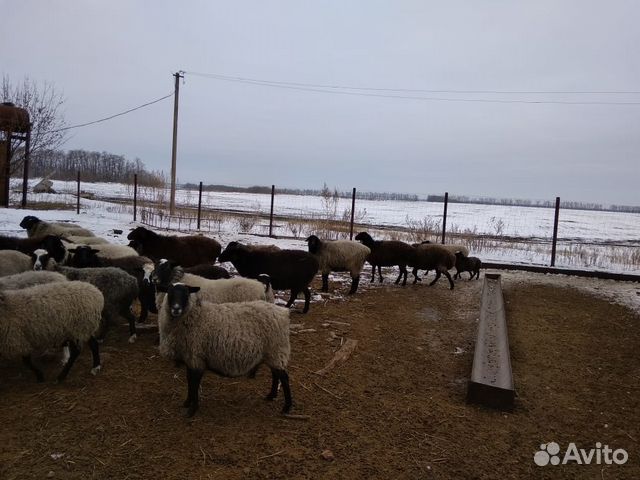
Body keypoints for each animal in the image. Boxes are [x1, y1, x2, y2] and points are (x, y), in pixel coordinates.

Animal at [157, 283, 292, 417]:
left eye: (186, 293)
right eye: (170, 292)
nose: (176, 309)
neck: (195, 315)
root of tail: (283, 313)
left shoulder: (197, 358)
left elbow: (194, 384)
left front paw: (192, 410)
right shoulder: (190, 358)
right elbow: (189, 381)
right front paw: (187, 402)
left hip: (277, 350)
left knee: (284, 378)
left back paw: (287, 407)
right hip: (273, 353)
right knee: (275, 374)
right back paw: (271, 396)